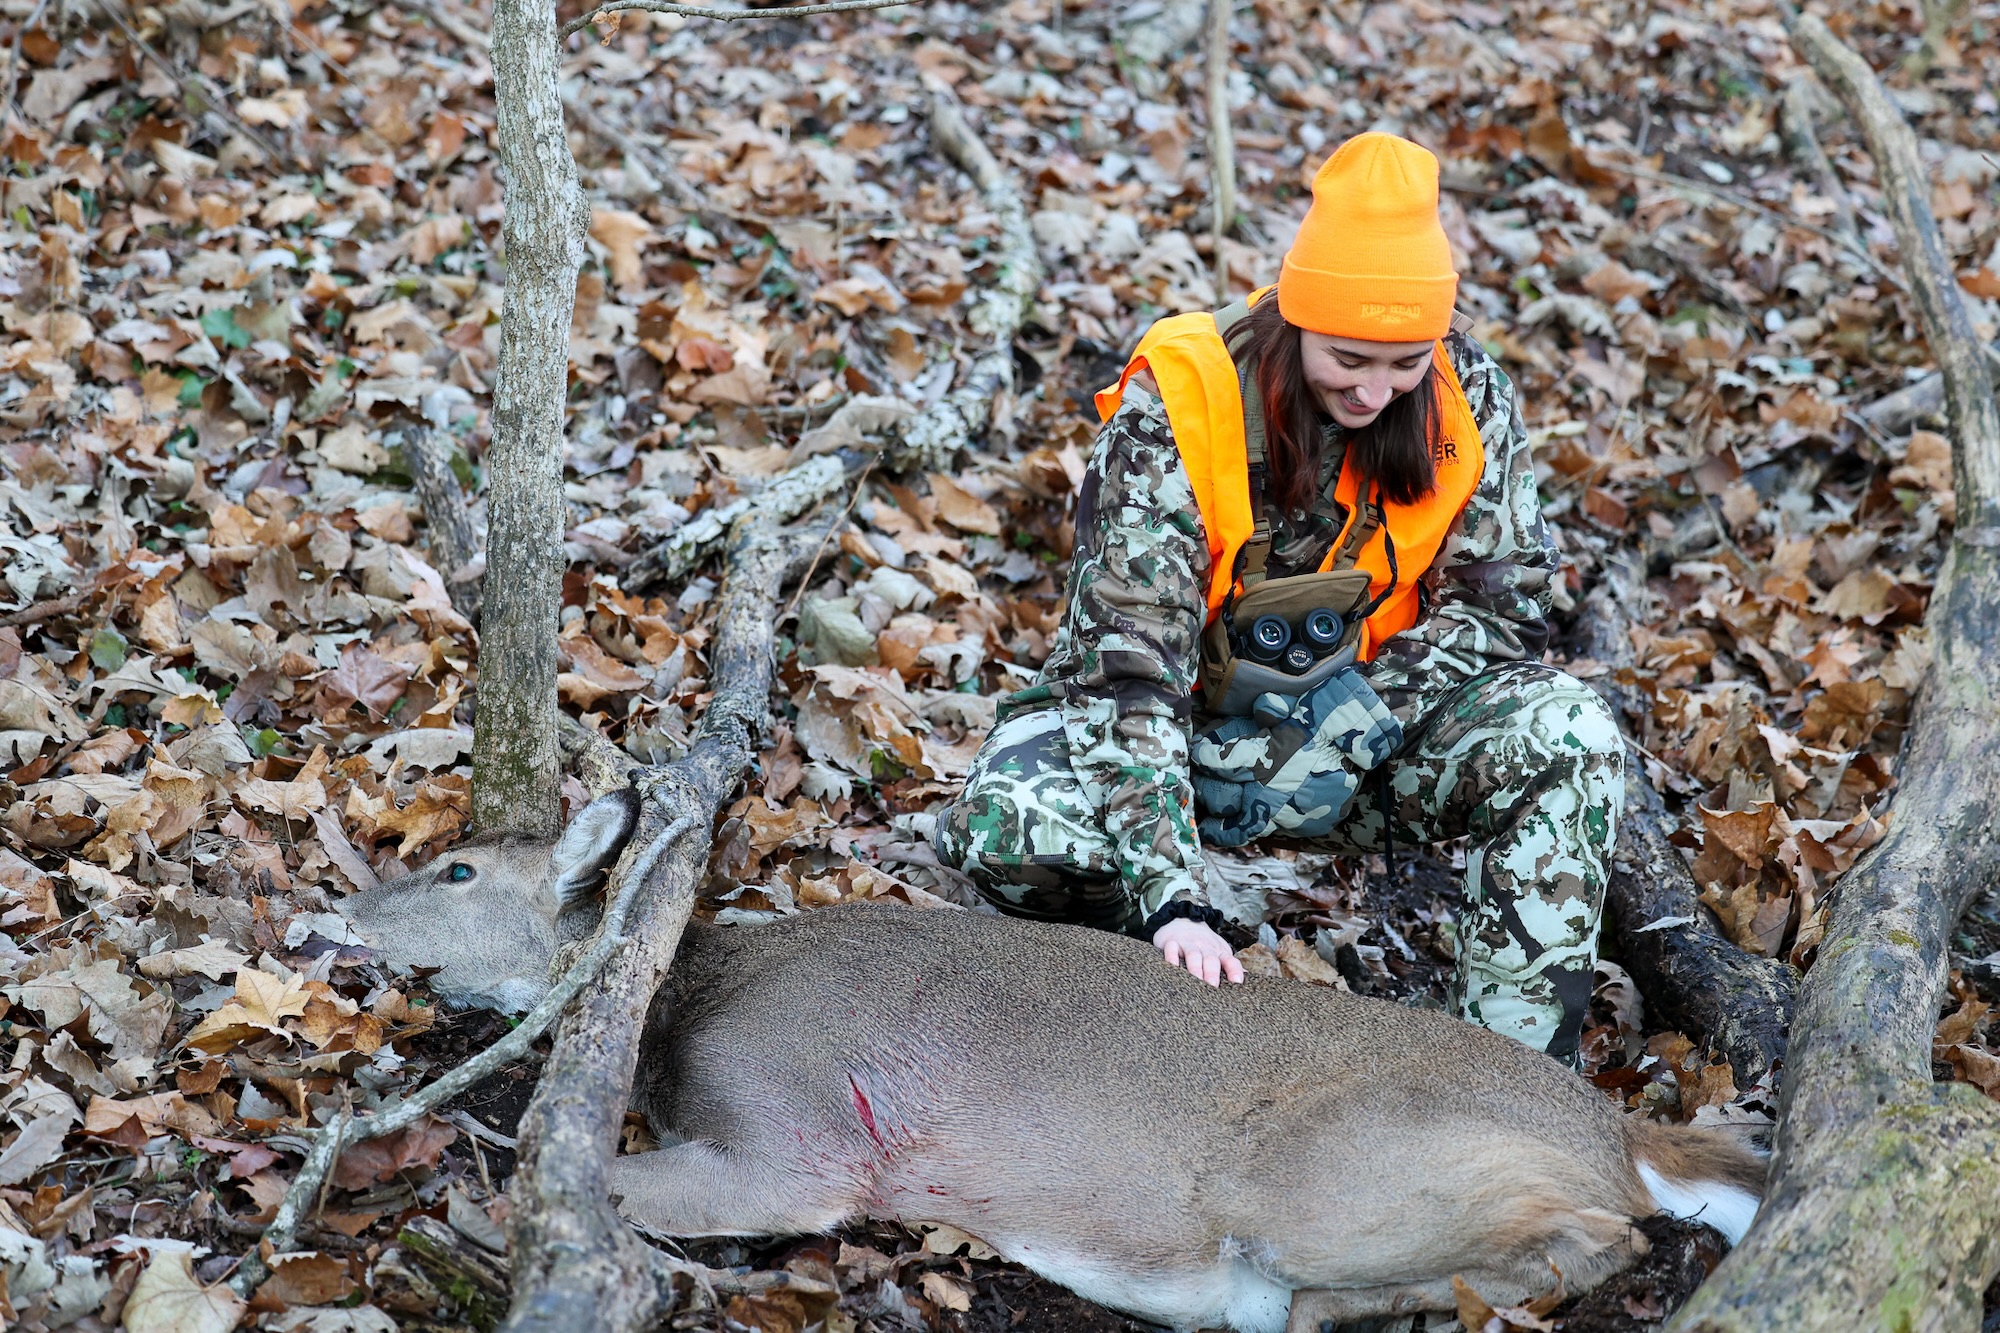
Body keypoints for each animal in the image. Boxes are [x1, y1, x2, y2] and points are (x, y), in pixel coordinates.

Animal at [335, 789, 1764, 1333]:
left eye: (457, 868)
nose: (340, 911)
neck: (694, 997)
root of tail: (1613, 1122)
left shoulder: (800, 1132)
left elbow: (577, 1182)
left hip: (1324, 1169)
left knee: (1599, 1239)